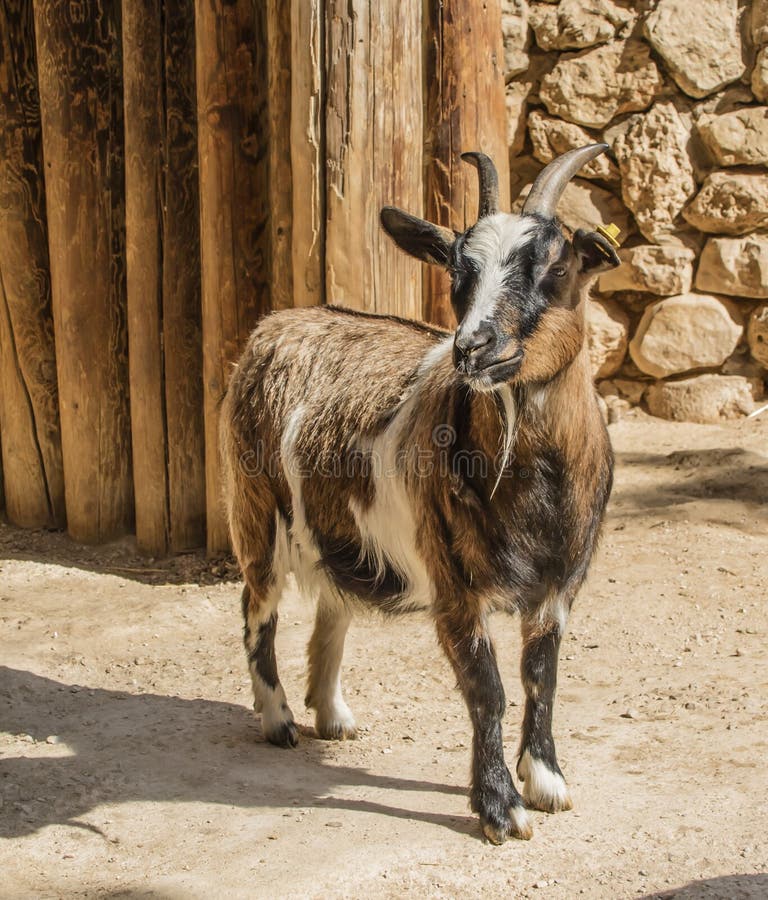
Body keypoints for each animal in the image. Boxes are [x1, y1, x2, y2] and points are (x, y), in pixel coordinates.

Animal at [220, 144, 621, 844]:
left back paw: (332, 714)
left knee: (333, 603)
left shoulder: (560, 583)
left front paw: (547, 781)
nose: (474, 348)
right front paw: (500, 809)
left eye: (558, 264)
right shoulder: (454, 583)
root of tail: (276, 322)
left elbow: (540, 676)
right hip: (255, 511)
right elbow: (487, 689)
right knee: (256, 607)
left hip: (337, 528)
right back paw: (277, 720)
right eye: (458, 269)